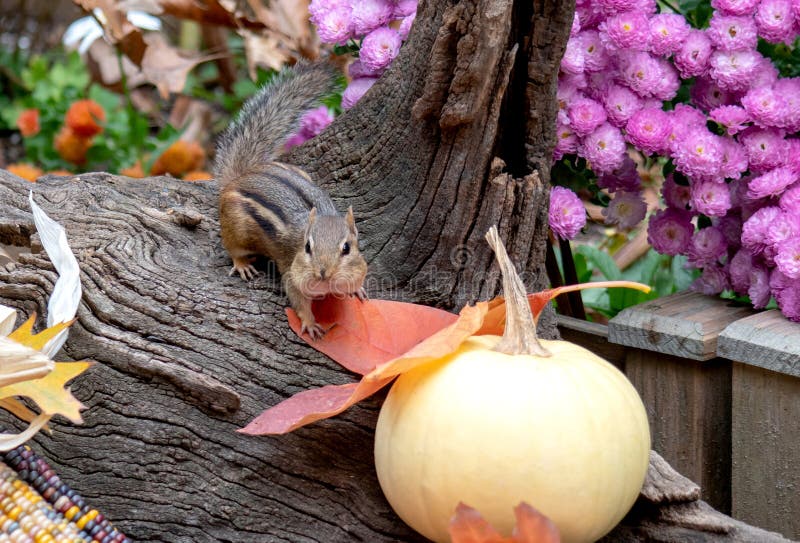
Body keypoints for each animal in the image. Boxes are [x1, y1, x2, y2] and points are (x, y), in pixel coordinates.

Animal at [214, 62, 368, 340]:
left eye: (347, 248)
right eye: (307, 247)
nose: (323, 272)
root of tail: (242, 176)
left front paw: (357, 289)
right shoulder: (293, 276)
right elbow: (298, 300)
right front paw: (310, 323)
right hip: (235, 226)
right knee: (233, 248)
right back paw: (242, 264)